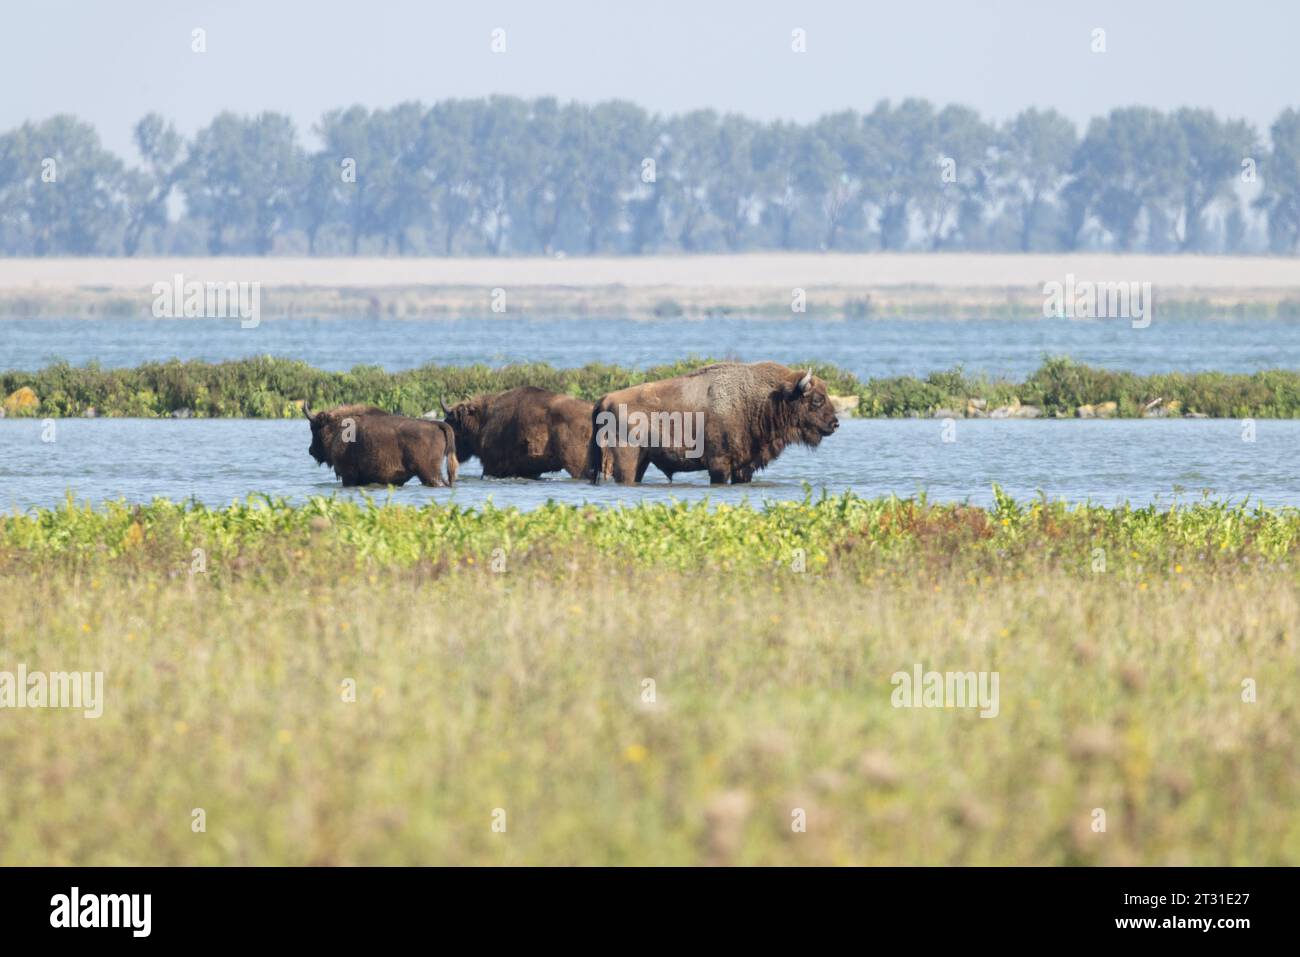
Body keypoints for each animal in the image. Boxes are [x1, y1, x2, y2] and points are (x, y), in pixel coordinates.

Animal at [304, 403, 458, 487]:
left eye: (314, 428)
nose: (311, 450)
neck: (338, 427)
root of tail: (435, 424)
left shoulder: (349, 475)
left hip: (429, 474)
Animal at [589, 362, 839, 484]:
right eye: (817, 400)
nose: (835, 423)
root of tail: (605, 399)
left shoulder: (744, 467)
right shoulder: (719, 465)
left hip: (643, 459)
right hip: (627, 460)